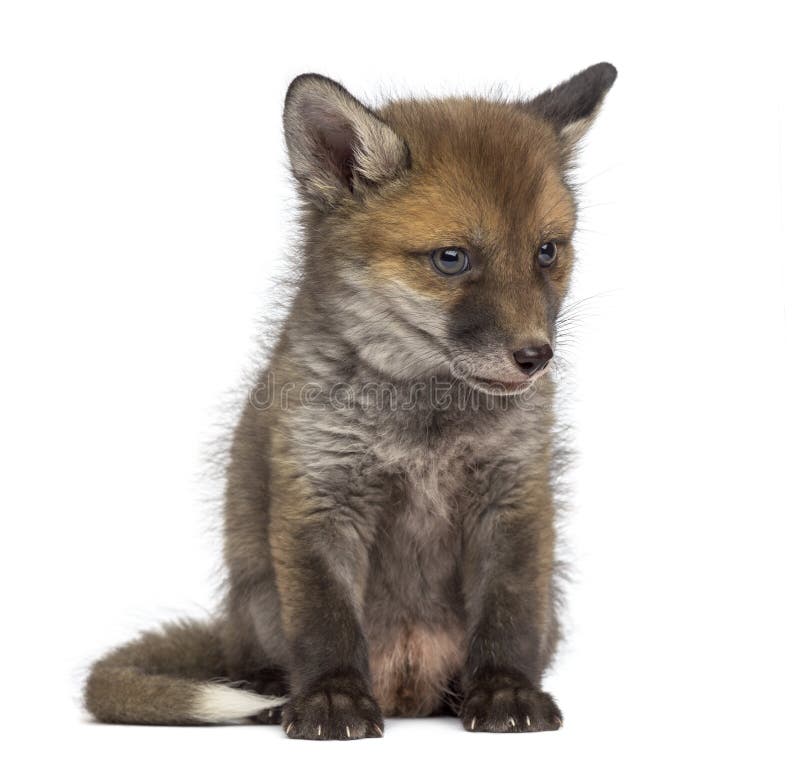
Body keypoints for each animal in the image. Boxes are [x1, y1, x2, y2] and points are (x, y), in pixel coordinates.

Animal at [84, 63, 617, 739]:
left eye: (546, 251)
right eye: (452, 259)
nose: (535, 356)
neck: (425, 426)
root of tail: (407, 693)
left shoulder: (513, 493)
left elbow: (509, 611)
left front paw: (506, 691)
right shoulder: (320, 494)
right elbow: (326, 620)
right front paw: (333, 700)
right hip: (256, 614)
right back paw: (274, 696)